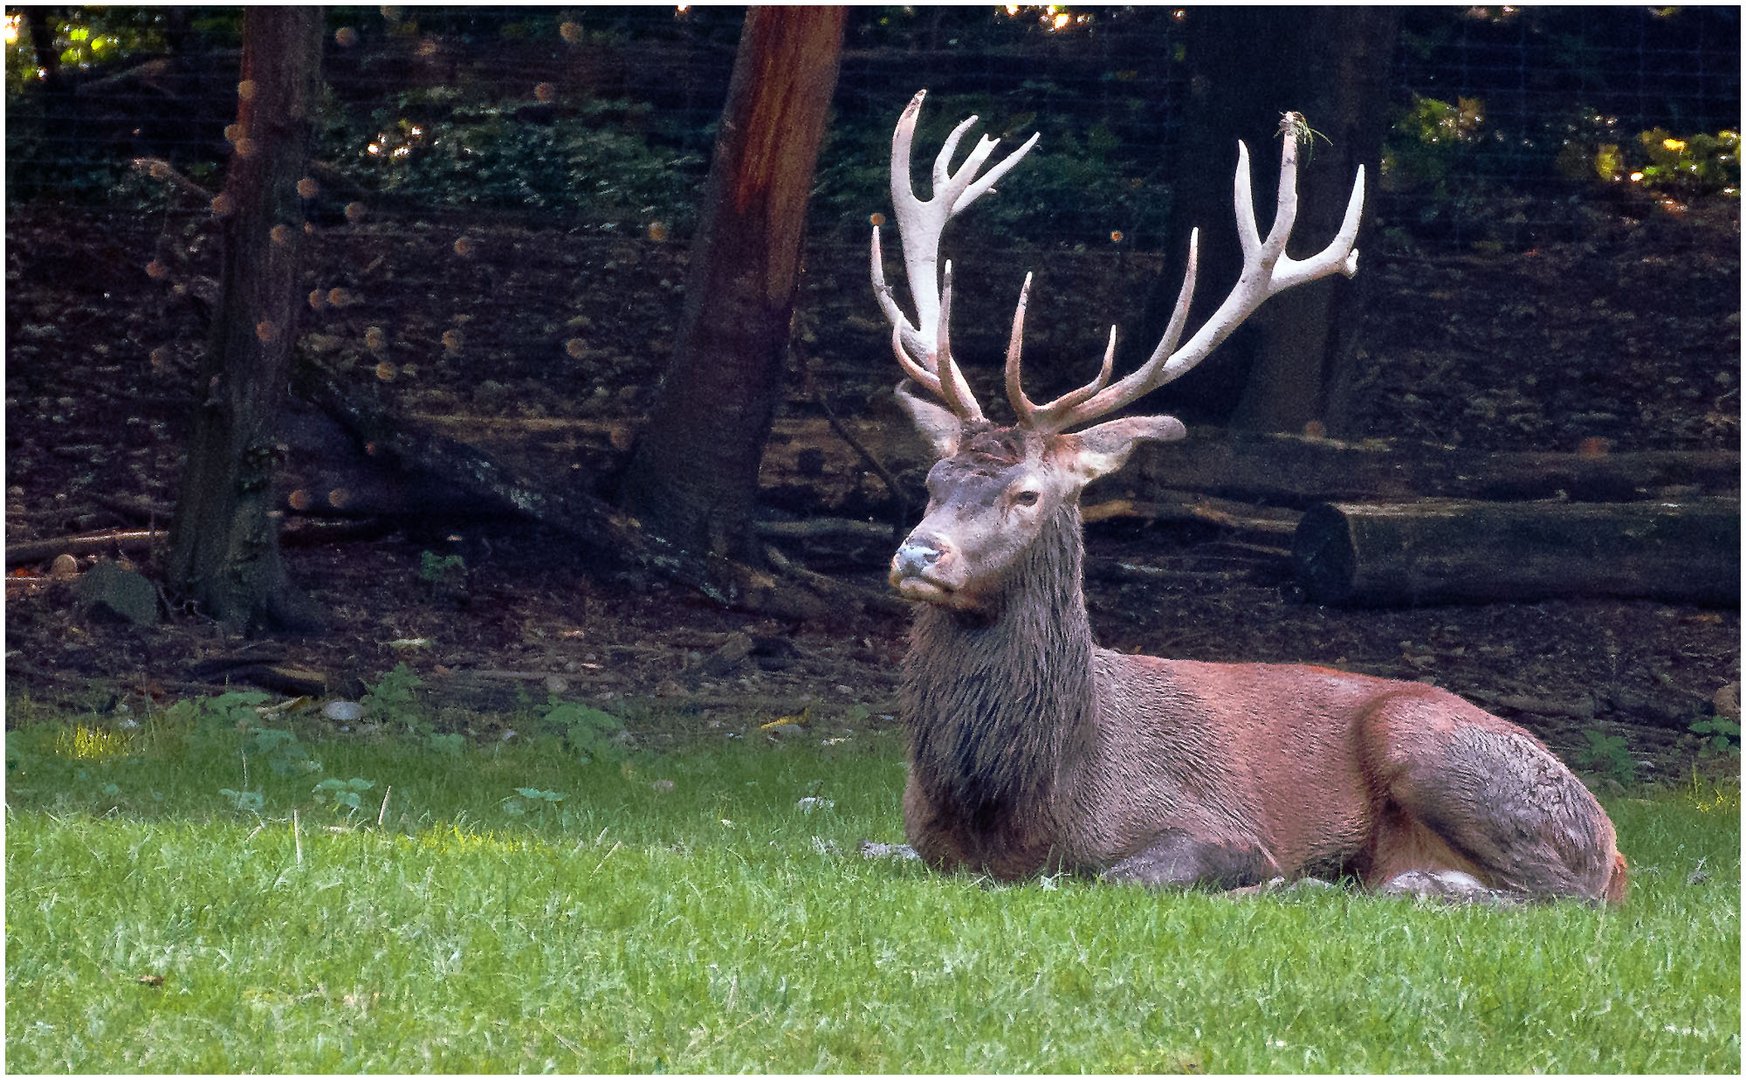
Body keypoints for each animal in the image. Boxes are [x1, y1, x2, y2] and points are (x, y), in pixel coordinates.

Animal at [869, 90, 1627, 904]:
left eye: (1027, 494)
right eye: (932, 481)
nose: (918, 553)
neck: (1021, 803)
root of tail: (1615, 843)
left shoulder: (1219, 826)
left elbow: (1115, 876)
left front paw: (1280, 883)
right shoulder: (915, 840)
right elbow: (867, 845)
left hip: (1435, 747)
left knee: (1557, 895)